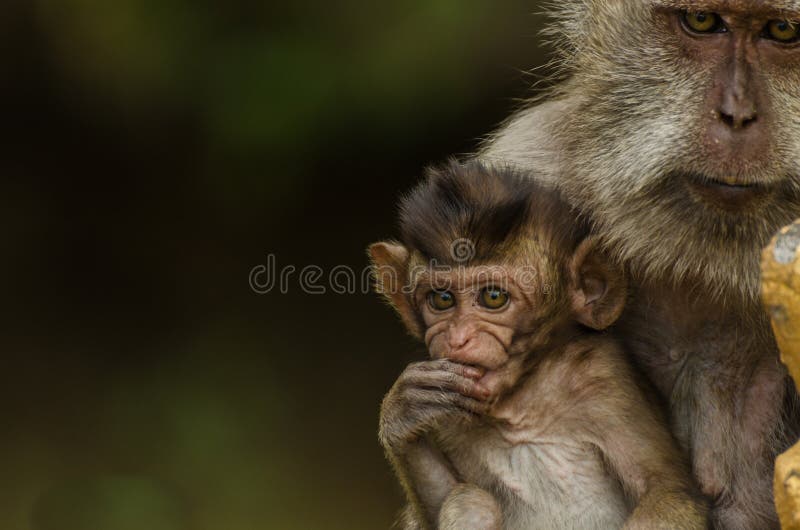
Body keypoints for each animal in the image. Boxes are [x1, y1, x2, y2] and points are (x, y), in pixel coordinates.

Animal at [370, 160, 708, 529]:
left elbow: (668, 491)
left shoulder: (606, 382)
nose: (458, 338)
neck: (520, 403)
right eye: (442, 300)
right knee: (470, 500)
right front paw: (402, 411)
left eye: (493, 297)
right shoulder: (449, 407)